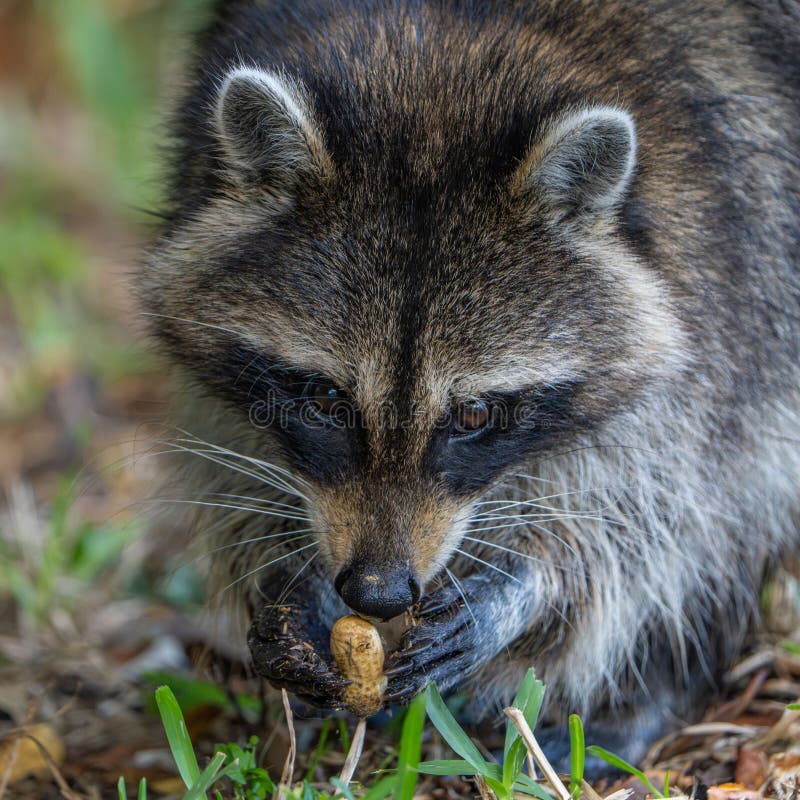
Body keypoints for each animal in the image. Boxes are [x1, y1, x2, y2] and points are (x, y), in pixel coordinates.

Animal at [143, 0, 800, 762]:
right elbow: (236, 447)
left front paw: (532, 582)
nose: (379, 593)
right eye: (326, 399)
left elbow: (671, 503)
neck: (433, 58)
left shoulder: (736, 248)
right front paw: (283, 571)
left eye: (477, 415)